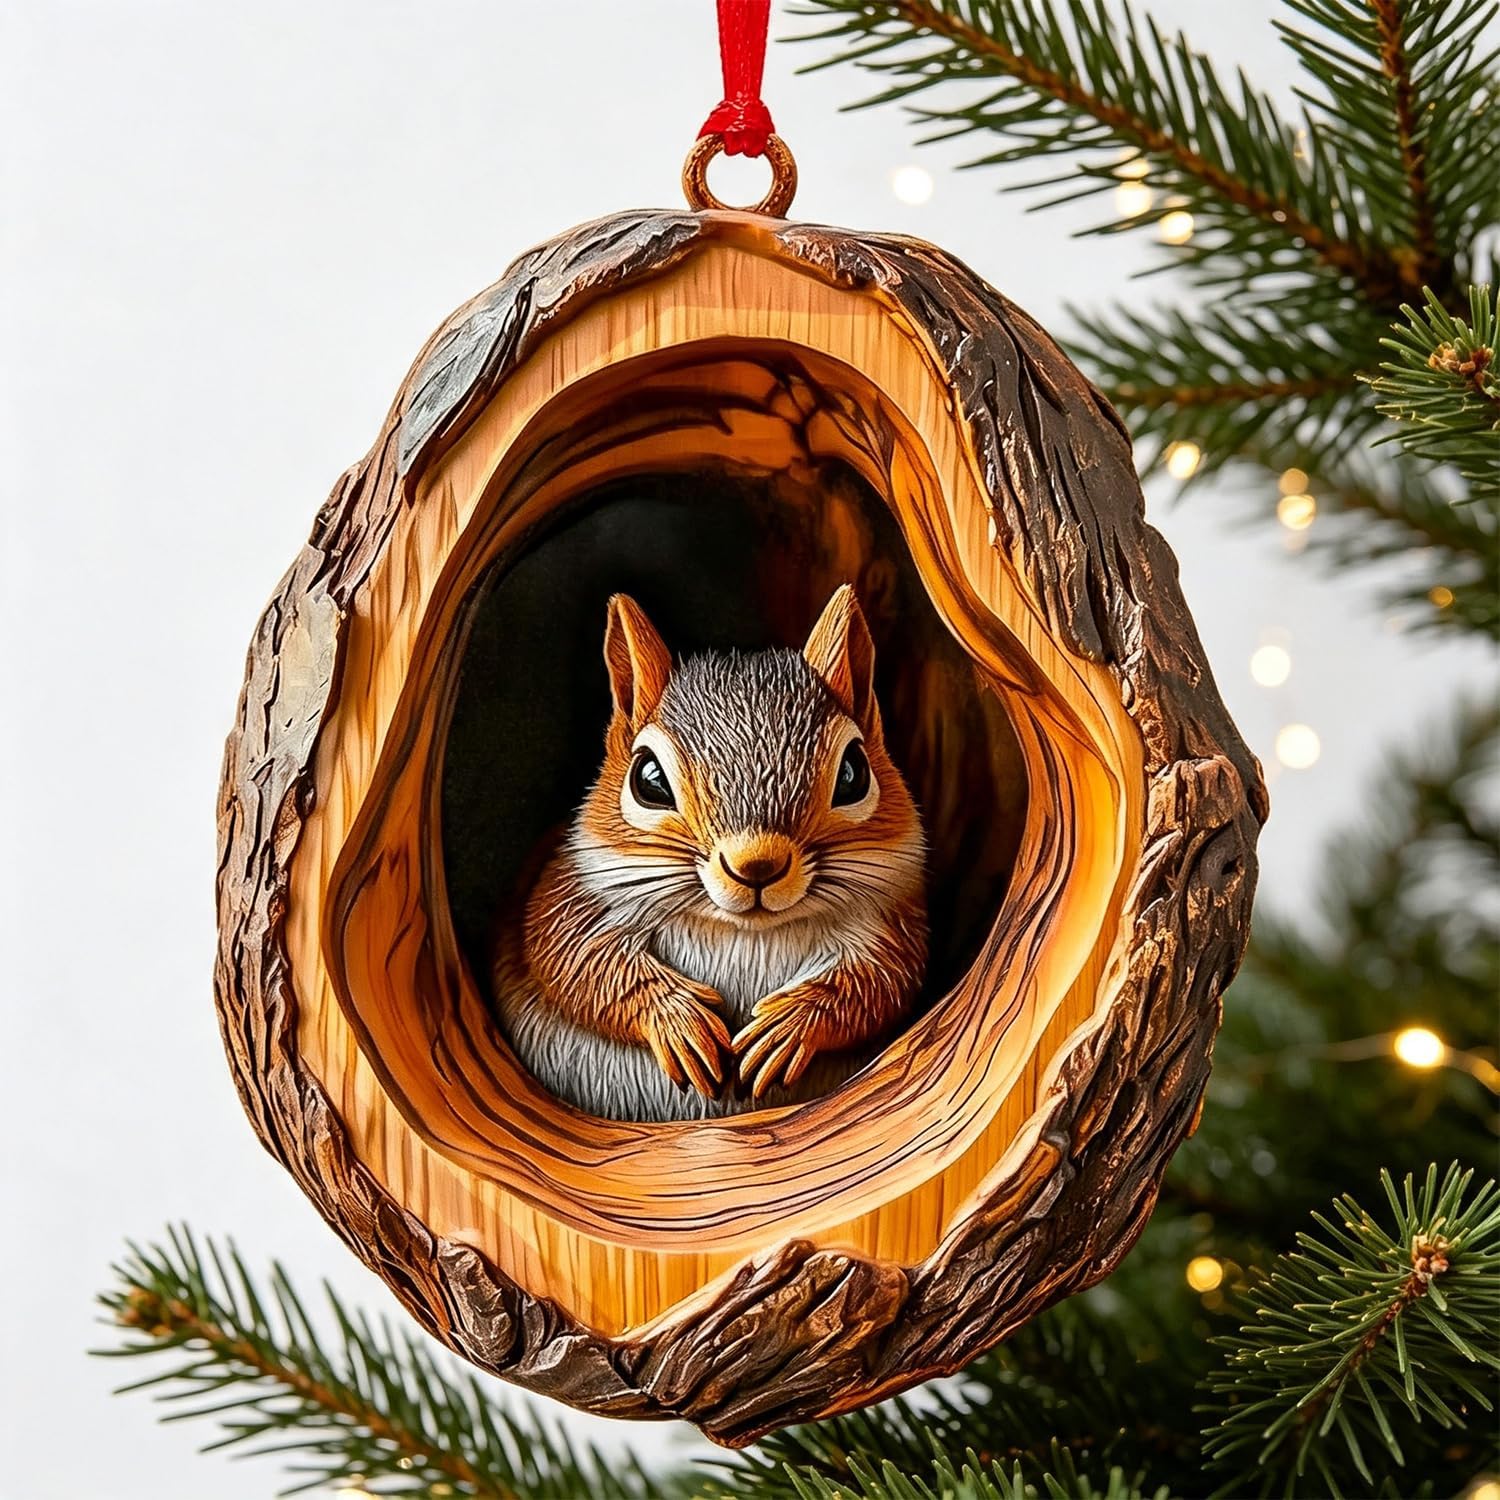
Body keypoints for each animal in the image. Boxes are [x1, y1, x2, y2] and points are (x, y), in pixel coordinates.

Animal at [490, 584, 929, 1123]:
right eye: (648, 779)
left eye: (853, 774)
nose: (756, 865)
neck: (743, 932)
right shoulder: (572, 892)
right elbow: (574, 957)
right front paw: (678, 1018)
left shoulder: (889, 922)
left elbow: (883, 980)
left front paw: (789, 1024)